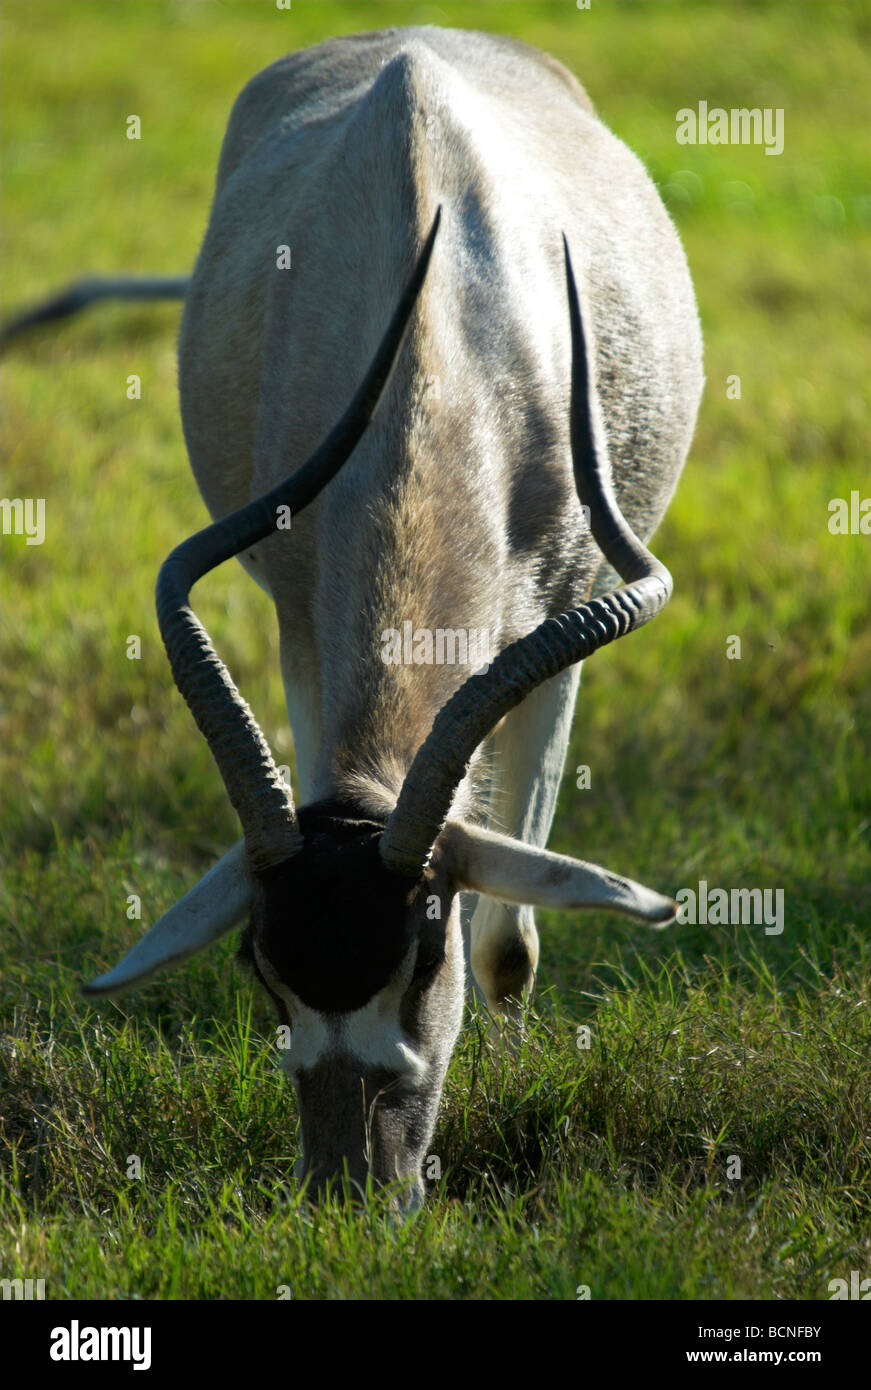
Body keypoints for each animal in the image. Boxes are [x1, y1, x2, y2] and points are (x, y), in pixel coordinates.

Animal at [67, 27, 702, 1207]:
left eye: (424, 949)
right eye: (260, 963)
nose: (351, 1192)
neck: (435, 333)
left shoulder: (563, 624)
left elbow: (513, 948)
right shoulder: (300, 628)